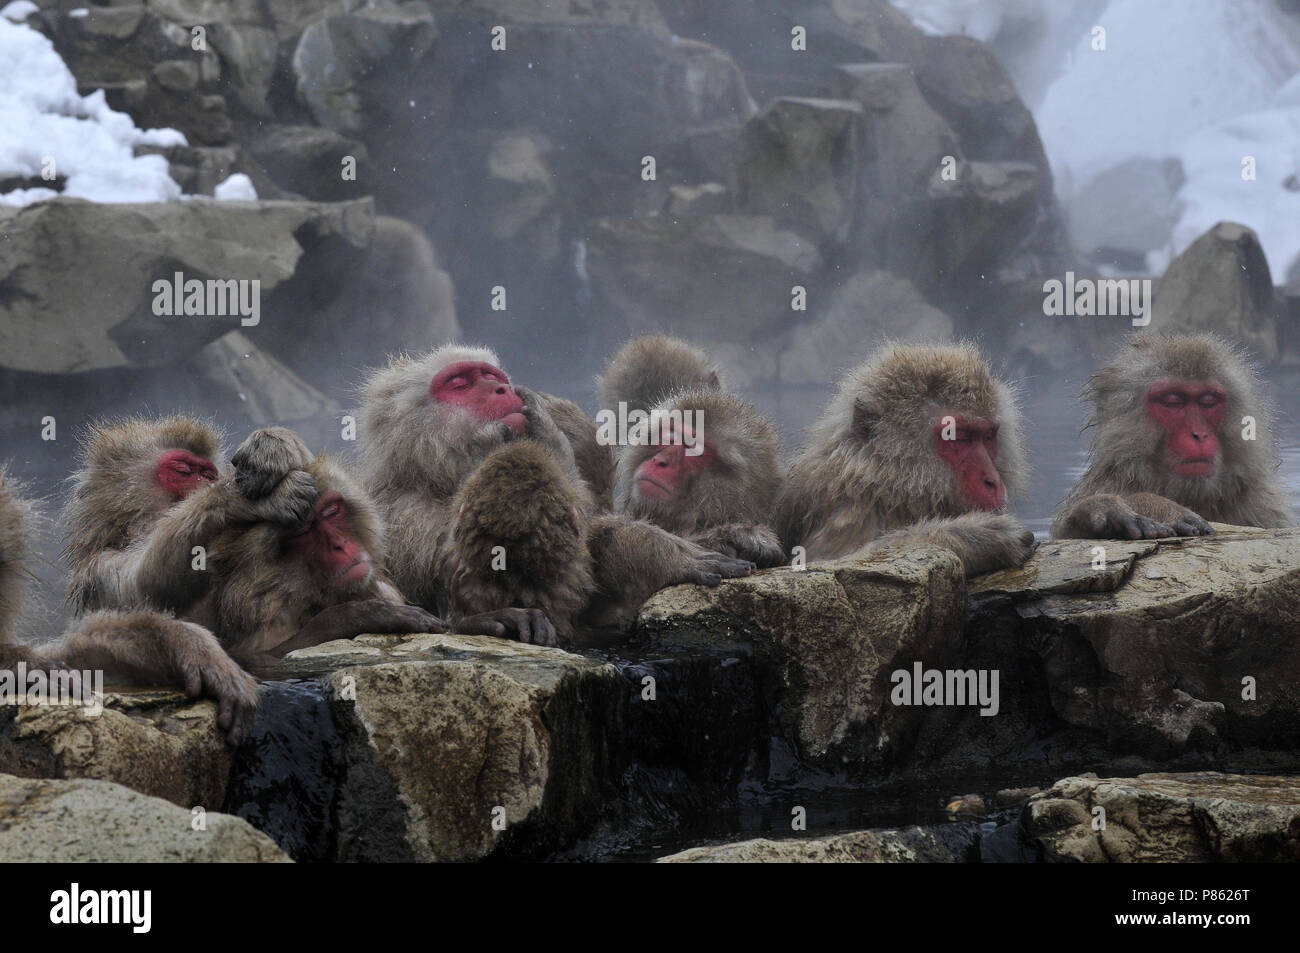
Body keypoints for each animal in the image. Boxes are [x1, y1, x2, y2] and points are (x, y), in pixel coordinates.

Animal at [775, 342, 1036, 577]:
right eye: (959, 437)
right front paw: (978, 537)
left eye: (988, 436)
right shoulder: (853, 513)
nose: (992, 480)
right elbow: (824, 561)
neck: (883, 485)